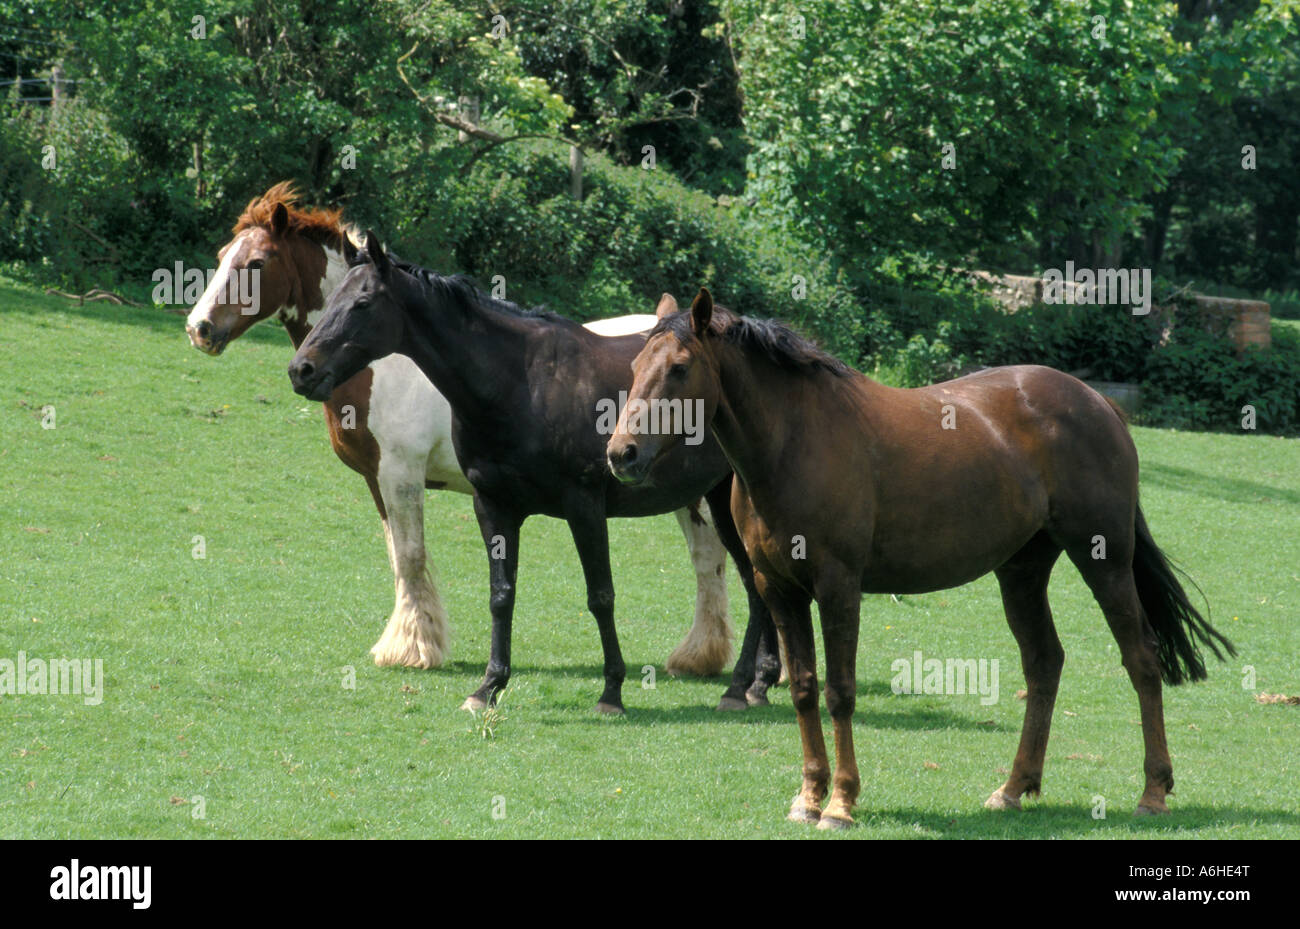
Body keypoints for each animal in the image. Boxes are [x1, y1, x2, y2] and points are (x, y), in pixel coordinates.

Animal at [183, 183, 742, 684]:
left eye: (256, 264)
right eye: (223, 255)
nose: (198, 328)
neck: (385, 366)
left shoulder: (402, 474)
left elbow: (411, 557)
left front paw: (412, 649)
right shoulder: (378, 480)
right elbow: (397, 556)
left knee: (708, 557)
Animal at [286, 234, 783, 714]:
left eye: (363, 303)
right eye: (332, 299)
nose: (301, 370)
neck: (521, 383)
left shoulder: (584, 506)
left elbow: (600, 596)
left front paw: (611, 692)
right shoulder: (493, 506)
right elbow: (501, 595)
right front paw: (488, 687)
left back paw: (740, 686)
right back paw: (756, 683)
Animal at [606, 288, 1236, 827]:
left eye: (679, 368)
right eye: (634, 368)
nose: (621, 454)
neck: (794, 442)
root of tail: (1098, 401)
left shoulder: (838, 587)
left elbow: (840, 691)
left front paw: (841, 804)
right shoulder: (778, 589)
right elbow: (805, 689)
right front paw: (808, 799)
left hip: (1102, 559)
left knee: (1142, 659)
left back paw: (1153, 792)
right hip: (1023, 571)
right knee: (1044, 663)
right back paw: (1013, 788)